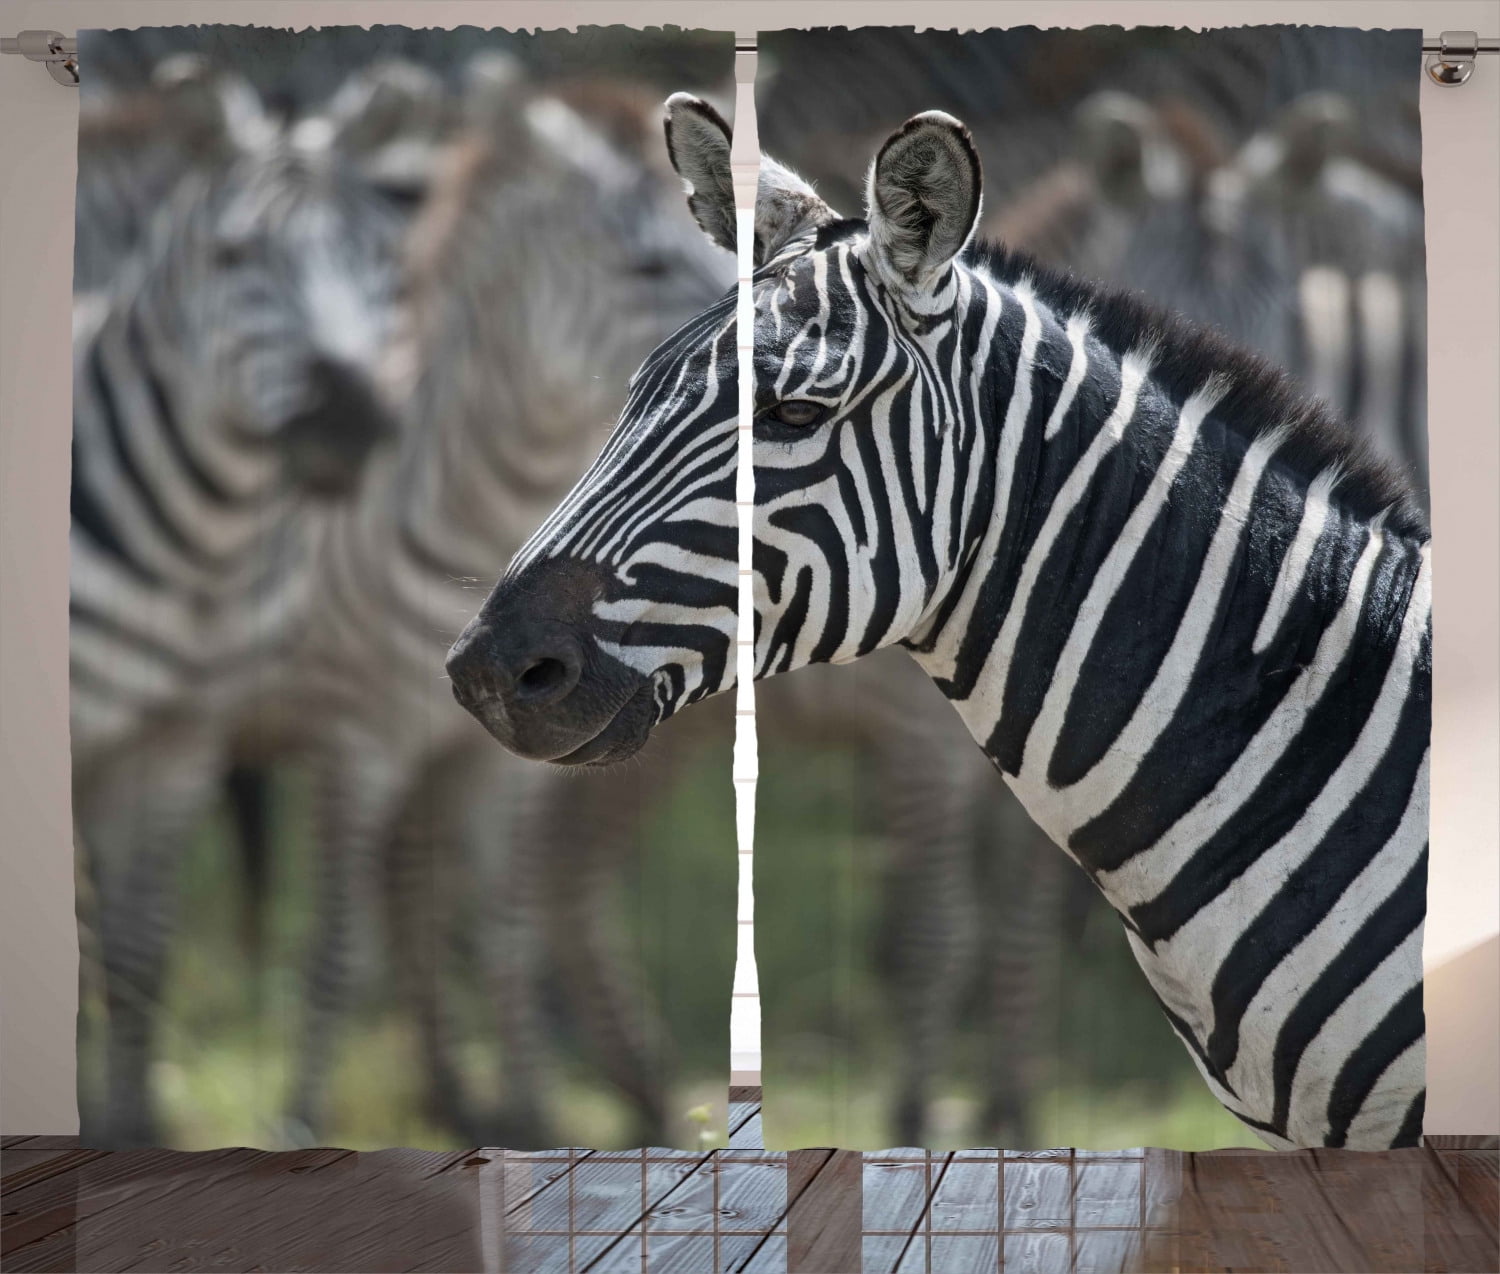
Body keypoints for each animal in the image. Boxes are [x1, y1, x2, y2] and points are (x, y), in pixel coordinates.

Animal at [72, 89, 414, 1145]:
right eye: (233, 256)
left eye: (377, 256)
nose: (352, 425)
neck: (198, 547)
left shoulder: (178, 741)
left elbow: (137, 952)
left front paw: (131, 1130)